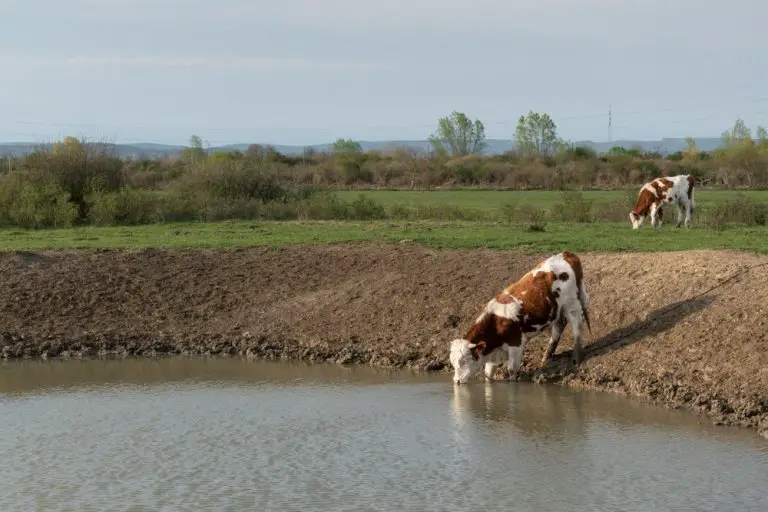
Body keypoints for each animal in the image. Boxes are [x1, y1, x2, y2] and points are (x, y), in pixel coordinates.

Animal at [449, 251, 592, 385]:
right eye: (453, 363)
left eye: (463, 361)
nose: (456, 381)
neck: (496, 322)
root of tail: (566, 254)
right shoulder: (495, 353)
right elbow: (488, 375)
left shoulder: (515, 344)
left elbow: (512, 371)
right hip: (556, 309)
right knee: (559, 325)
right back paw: (546, 357)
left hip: (572, 304)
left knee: (576, 326)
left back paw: (577, 358)